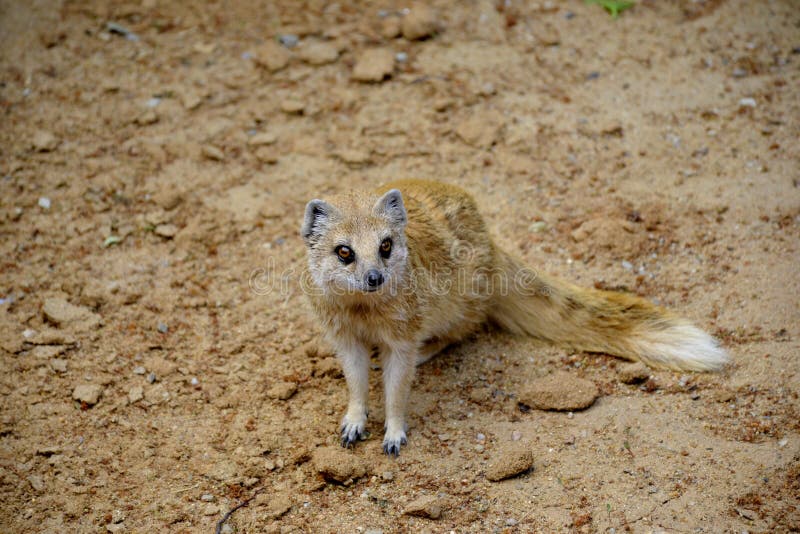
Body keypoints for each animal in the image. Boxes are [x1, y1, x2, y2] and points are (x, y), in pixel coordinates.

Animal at [300, 179, 729, 456]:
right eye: (344, 251)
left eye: (386, 245)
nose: (375, 277)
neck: (364, 312)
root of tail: (493, 244)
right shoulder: (341, 333)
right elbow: (355, 378)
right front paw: (354, 421)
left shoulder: (405, 330)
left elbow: (397, 383)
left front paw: (393, 432)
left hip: (458, 303)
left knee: (462, 329)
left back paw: (431, 347)